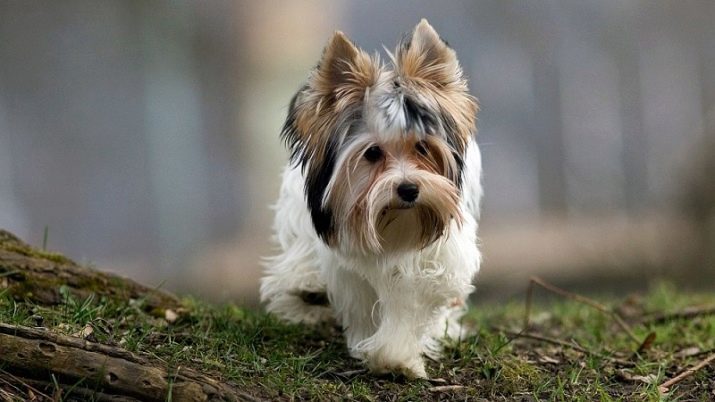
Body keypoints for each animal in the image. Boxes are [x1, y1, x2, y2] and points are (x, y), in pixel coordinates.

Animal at [260, 18, 484, 376]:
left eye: (423, 146)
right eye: (372, 153)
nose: (408, 189)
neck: (396, 223)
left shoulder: (439, 260)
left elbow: (413, 302)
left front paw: (395, 356)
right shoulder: (345, 260)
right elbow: (359, 298)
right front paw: (379, 349)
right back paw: (307, 288)